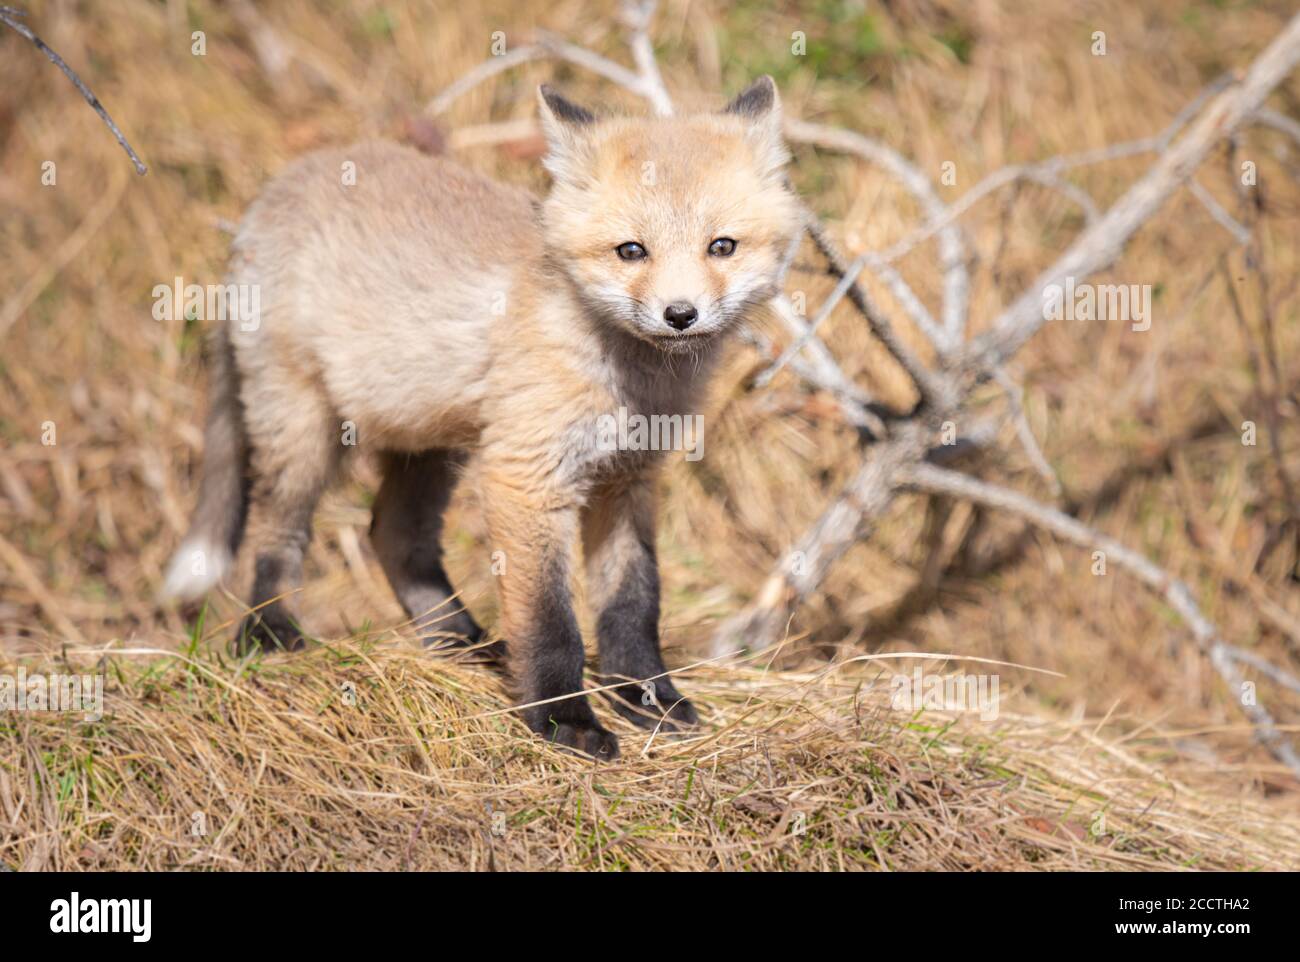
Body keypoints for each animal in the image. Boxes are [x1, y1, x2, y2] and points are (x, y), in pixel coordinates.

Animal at [162, 75, 804, 759]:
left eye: (722, 246)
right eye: (631, 251)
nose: (680, 315)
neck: (629, 379)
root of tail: (268, 196)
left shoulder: (626, 478)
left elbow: (633, 604)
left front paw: (647, 698)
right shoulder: (526, 476)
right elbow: (552, 623)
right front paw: (565, 720)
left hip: (429, 441)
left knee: (393, 536)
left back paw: (458, 641)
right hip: (301, 425)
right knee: (276, 531)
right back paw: (270, 632)